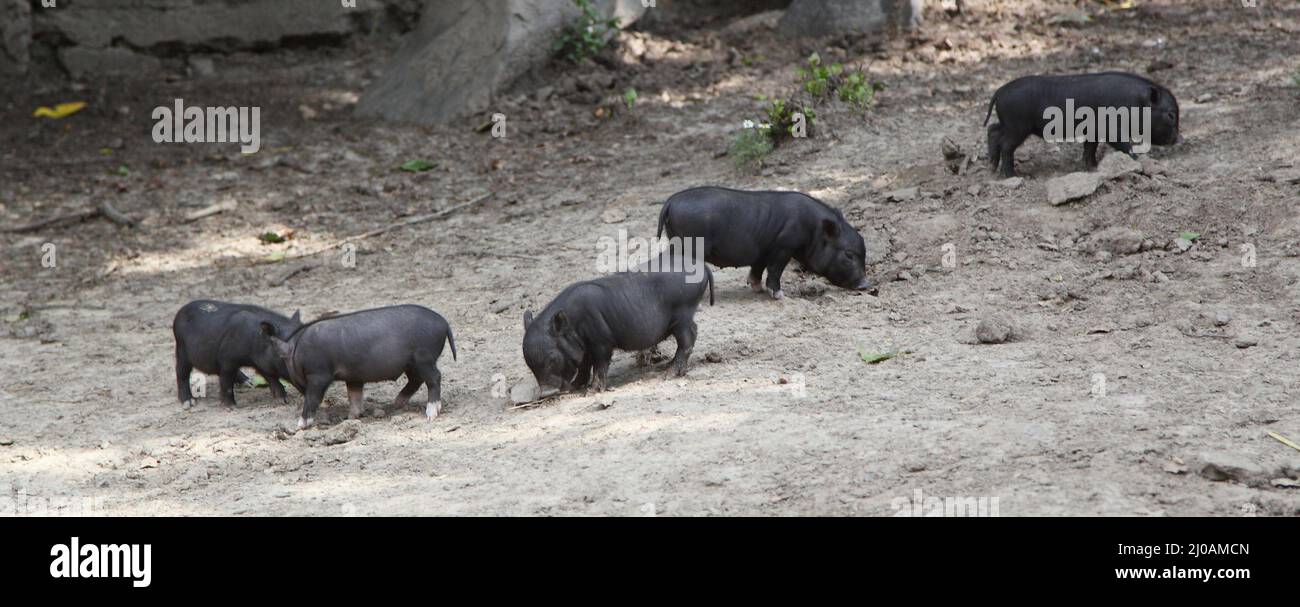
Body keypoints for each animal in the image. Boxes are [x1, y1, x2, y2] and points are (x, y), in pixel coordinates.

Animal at [173, 300, 302, 409]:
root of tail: (179, 312)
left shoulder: (260, 363)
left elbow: (271, 378)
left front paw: (284, 400)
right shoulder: (227, 360)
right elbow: (226, 381)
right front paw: (231, 407)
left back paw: (249, 383)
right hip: (181, 349)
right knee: (181, 373)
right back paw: (189, 403)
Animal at [261, 305, 456, 430]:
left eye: (284, 365)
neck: (298, 350)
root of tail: (444, 322)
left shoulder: (319, 375)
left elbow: (312, 398)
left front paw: (301, 426)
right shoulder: (353, 377)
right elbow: (354, 395)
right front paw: (351, 418)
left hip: (424, 357)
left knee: (434, 377)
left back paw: (430, 414)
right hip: (412, 364)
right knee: (416, 380)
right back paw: (395, 404)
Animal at [522, 253, 712, 395]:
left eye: (552, 358)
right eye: (529, 364)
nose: (547, 393)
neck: (573, 324)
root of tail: (702, 266)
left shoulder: (601, 342)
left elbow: (600, 364)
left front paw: (592, 392)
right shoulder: (585, 348)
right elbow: (584, 366)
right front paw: (574, 388)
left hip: (683, 315)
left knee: (689, 337)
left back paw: (669, 374)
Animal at [656, 186, 872, 300]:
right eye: (849, 255)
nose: (865, 284)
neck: (812, 229)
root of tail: (670, 201)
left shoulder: (763, 250)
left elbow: (757, 268)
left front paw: (756, 289)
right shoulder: (783, 246)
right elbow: (775, 269)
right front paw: (780, 296)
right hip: (689, 245)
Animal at [984, 72, 1182, 177]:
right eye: (1171, 115)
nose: (1179, 139)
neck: (1136, 103)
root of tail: (999, 91)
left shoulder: (1093, 130)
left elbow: (1090, 148)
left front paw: (1092, 168)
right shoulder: (1111, 128)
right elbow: (1124, 145)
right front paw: (1136, 161)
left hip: (1009, 124)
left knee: (993, 130)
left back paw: (992, 168)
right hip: (1017, 126)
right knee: (1006, 145)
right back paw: (1013, 175)